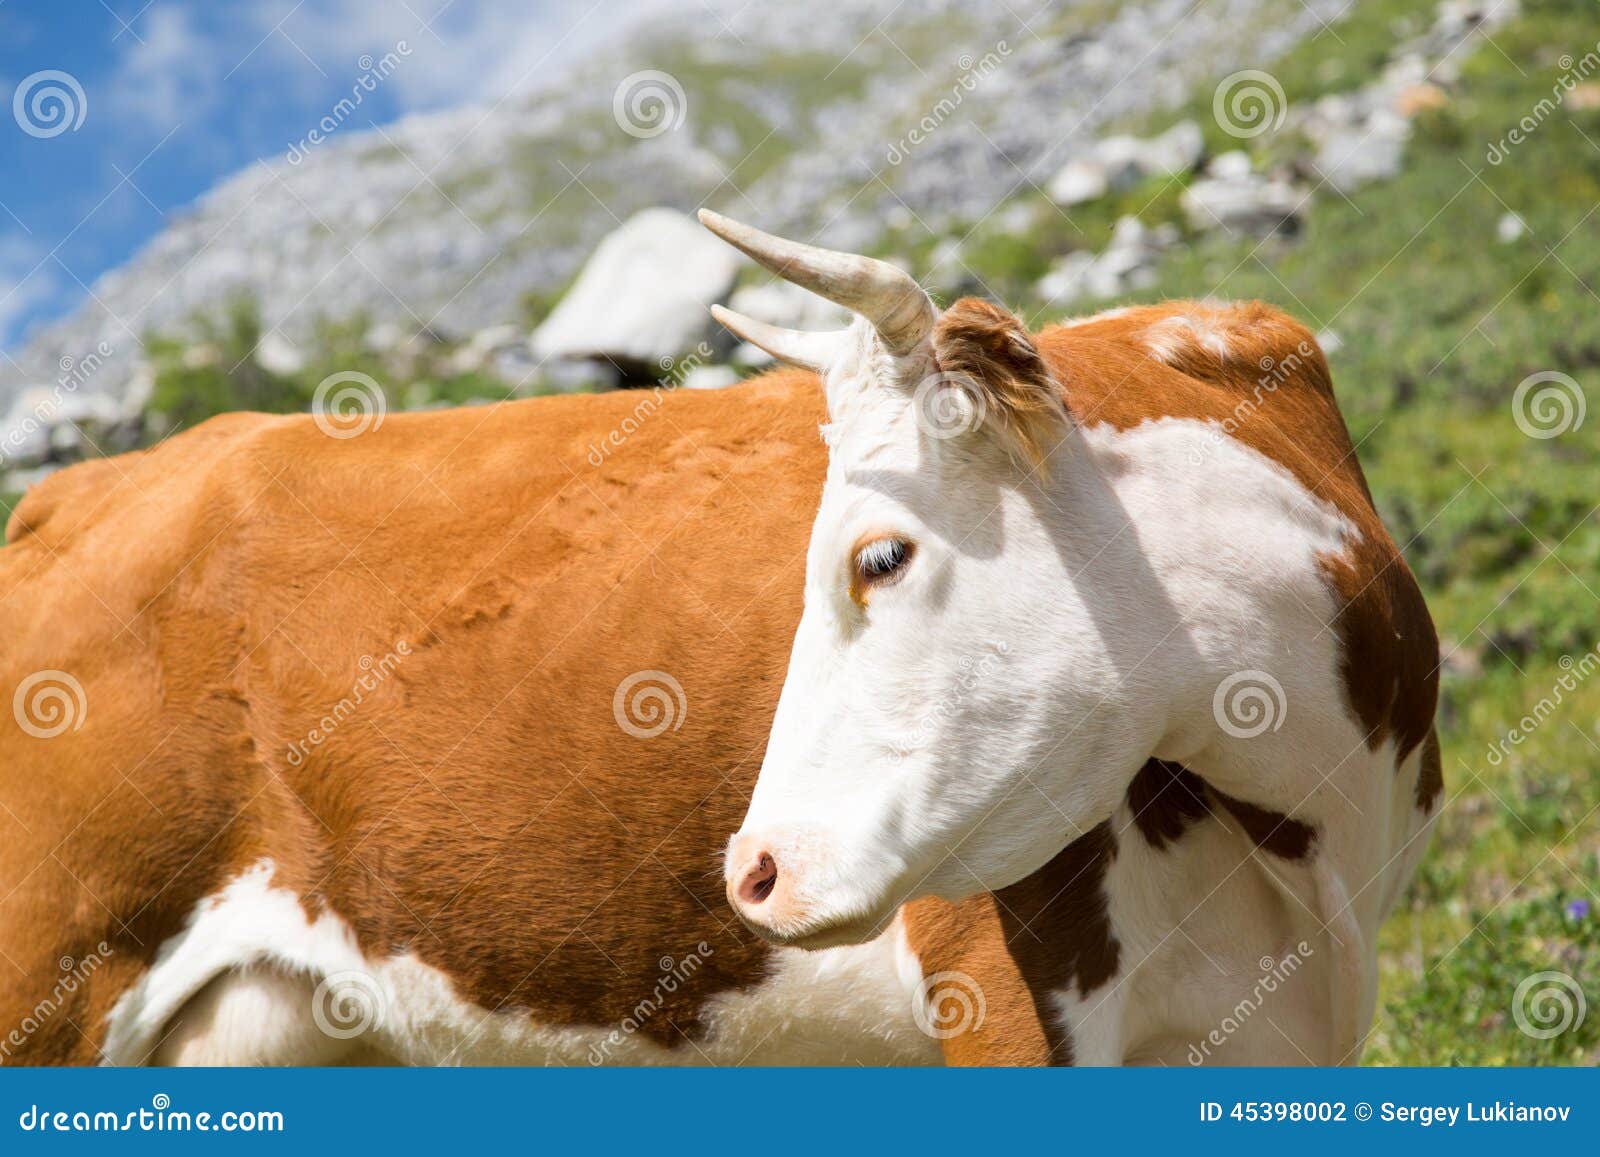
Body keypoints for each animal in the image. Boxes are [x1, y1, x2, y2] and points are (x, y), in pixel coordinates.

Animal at [0, 211, 1439, 1067]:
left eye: (878, 554)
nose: (750, 871)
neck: (1312, 828)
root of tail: (95, 483)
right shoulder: (1006, 1001)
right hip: (51, 980)